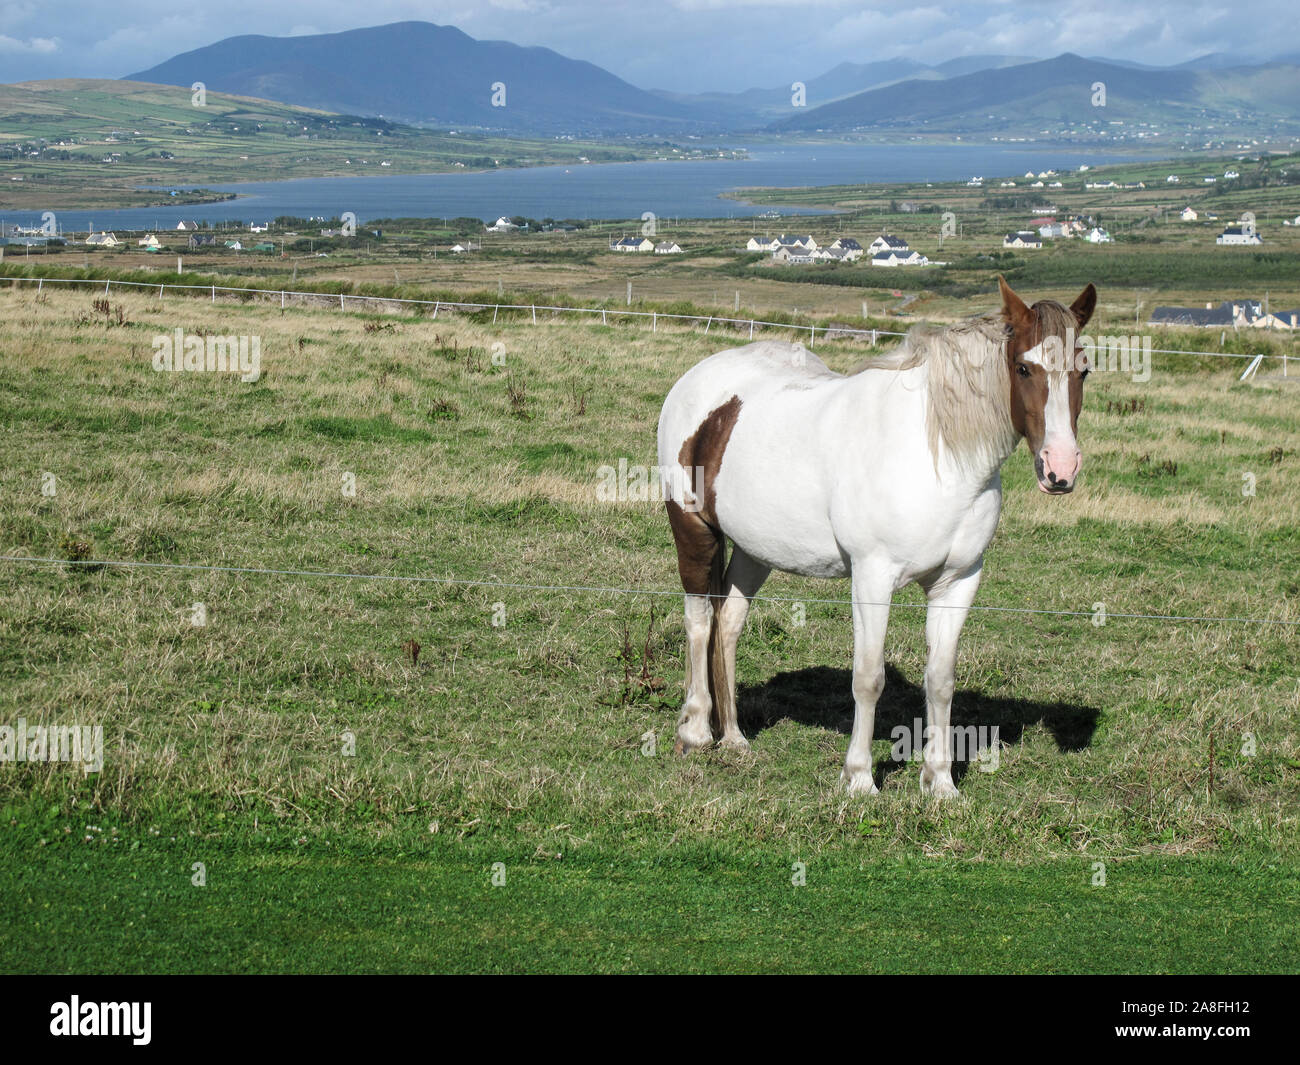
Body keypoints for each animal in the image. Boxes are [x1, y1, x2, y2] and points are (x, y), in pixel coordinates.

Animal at [657, 277, 1096, 796]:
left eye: (1083, 370)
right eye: (1024, 367)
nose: (1060, 469)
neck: (935, 457)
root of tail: (699, 380)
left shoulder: (958, 582)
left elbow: (940, 679)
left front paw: (940, 782)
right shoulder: (872, 577)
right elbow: (868, 678)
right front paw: (860, 778)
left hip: (753, 548)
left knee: (728, 623)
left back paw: (735, 738)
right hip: (692, 527)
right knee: (699, 618)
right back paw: (695, 731)